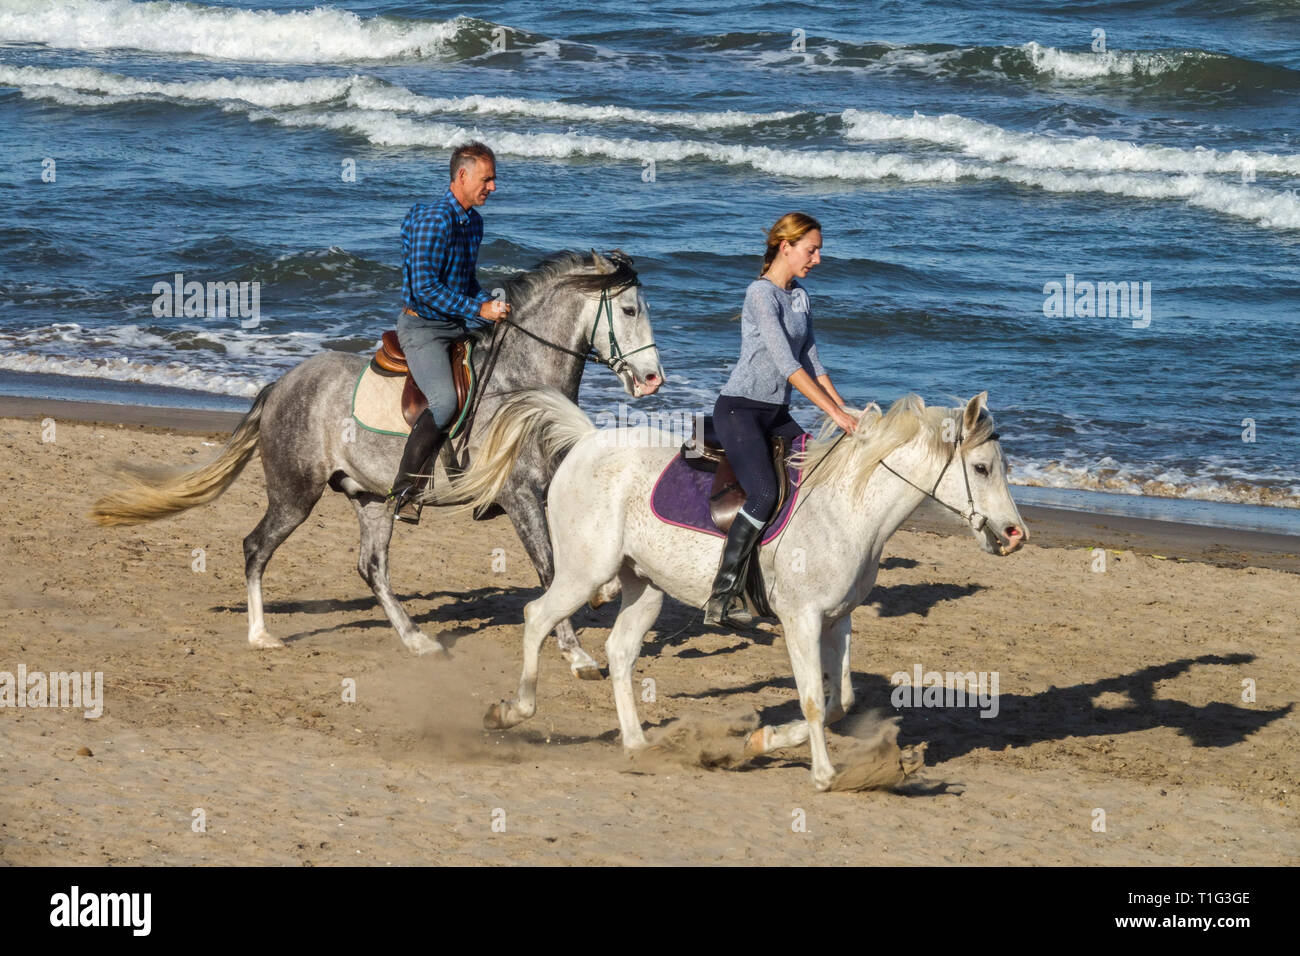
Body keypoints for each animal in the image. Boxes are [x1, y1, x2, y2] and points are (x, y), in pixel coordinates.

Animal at [90, 250, 664, 678]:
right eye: (630, 310)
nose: (653, 379)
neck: (522, 386)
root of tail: (281, 384)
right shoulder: (520, 496)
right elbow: (548, 569)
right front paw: (578, 655)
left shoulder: (548, 492)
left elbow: (572, 565)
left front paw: (604, 595)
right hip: (296, 495)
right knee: (257, 547)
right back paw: (261, 635)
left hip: (371, 498)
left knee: (372, 568)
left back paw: (417, 642)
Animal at [446, 386, 1028, 790]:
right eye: (981, 468)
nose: (1015, 534)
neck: (847, 508)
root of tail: (588, 439)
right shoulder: (801, 619)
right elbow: (813, 700)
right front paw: (823, 775)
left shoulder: (837, 620)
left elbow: (839, 701)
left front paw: (761, 740)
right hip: (585, 572)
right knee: (537, 618)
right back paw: (512, 711)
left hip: (645, 586)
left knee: (620, 651)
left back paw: (637, 742)